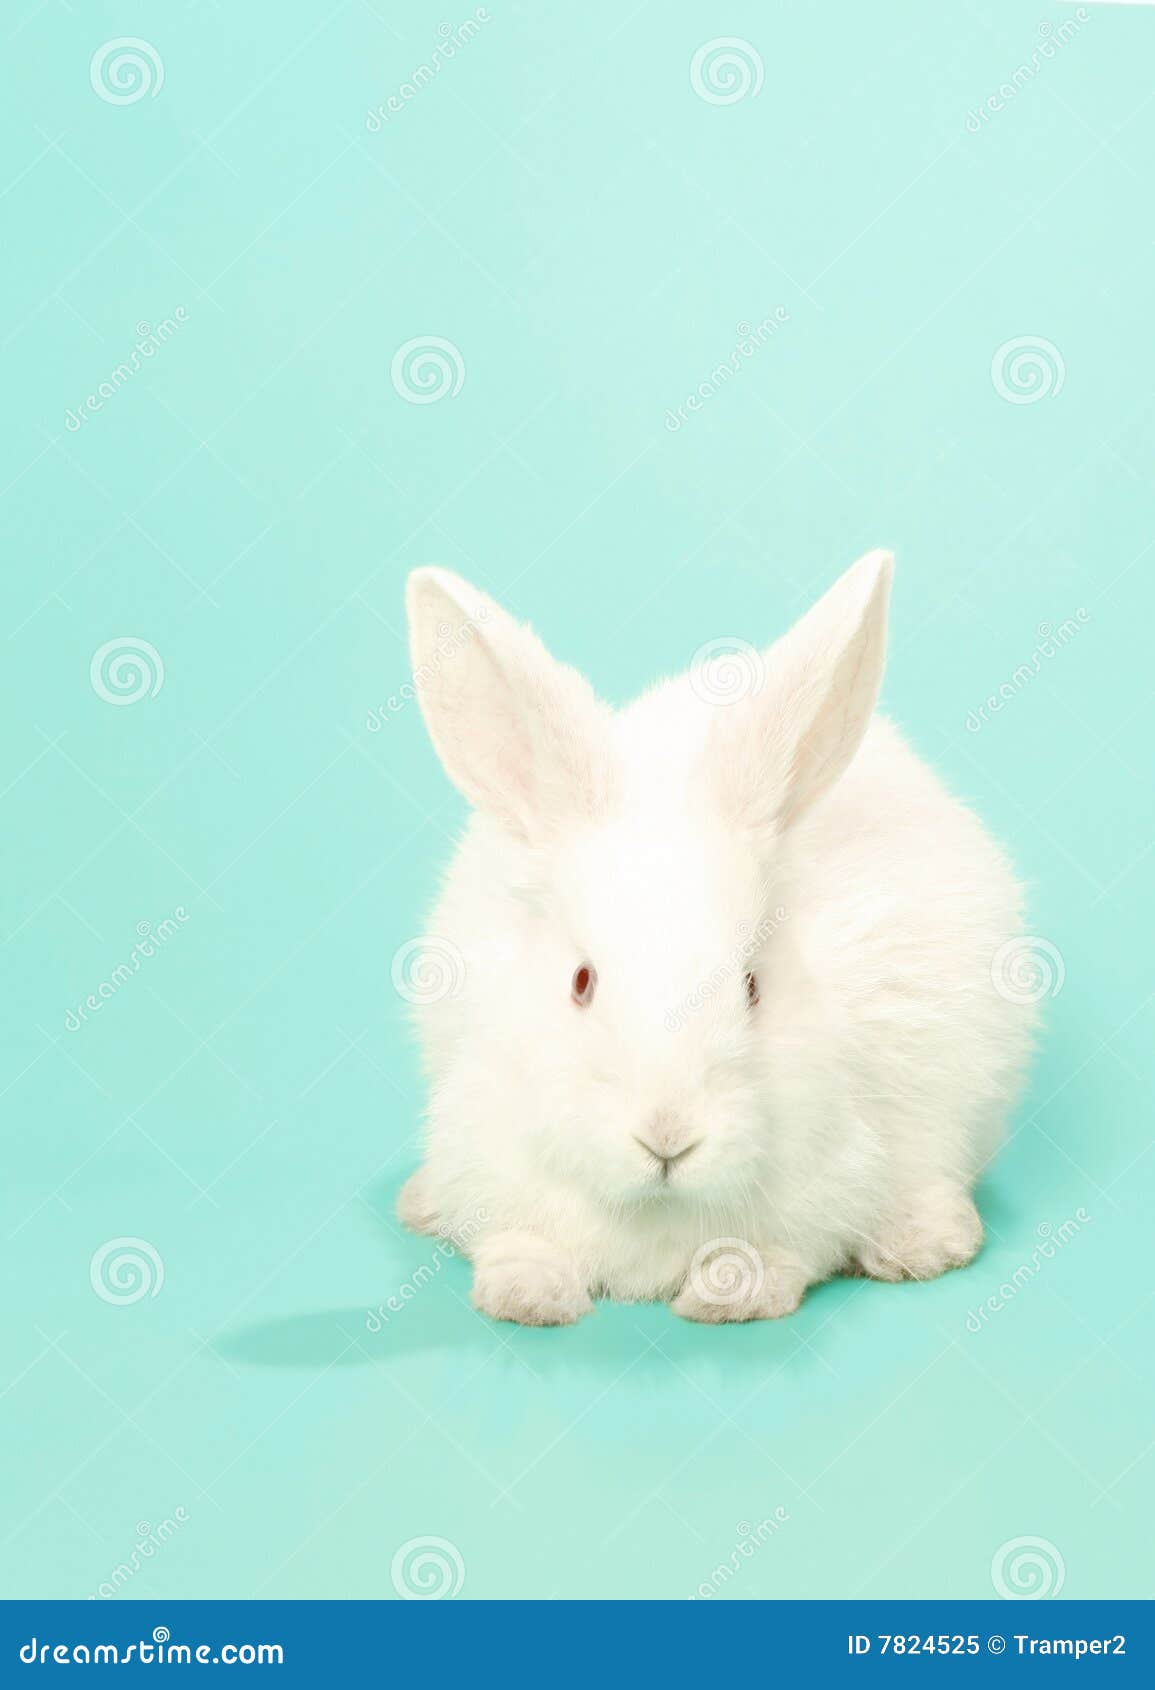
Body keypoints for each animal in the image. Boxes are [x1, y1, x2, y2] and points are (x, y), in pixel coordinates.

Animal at [396, 551, 1035, 1325]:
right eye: (581, 982)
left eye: (752, 986)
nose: (668, 1136)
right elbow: (518, 1240)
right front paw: (527, 1293)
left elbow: (781, 1256)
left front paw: (730, 1292)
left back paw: (920, 1242)